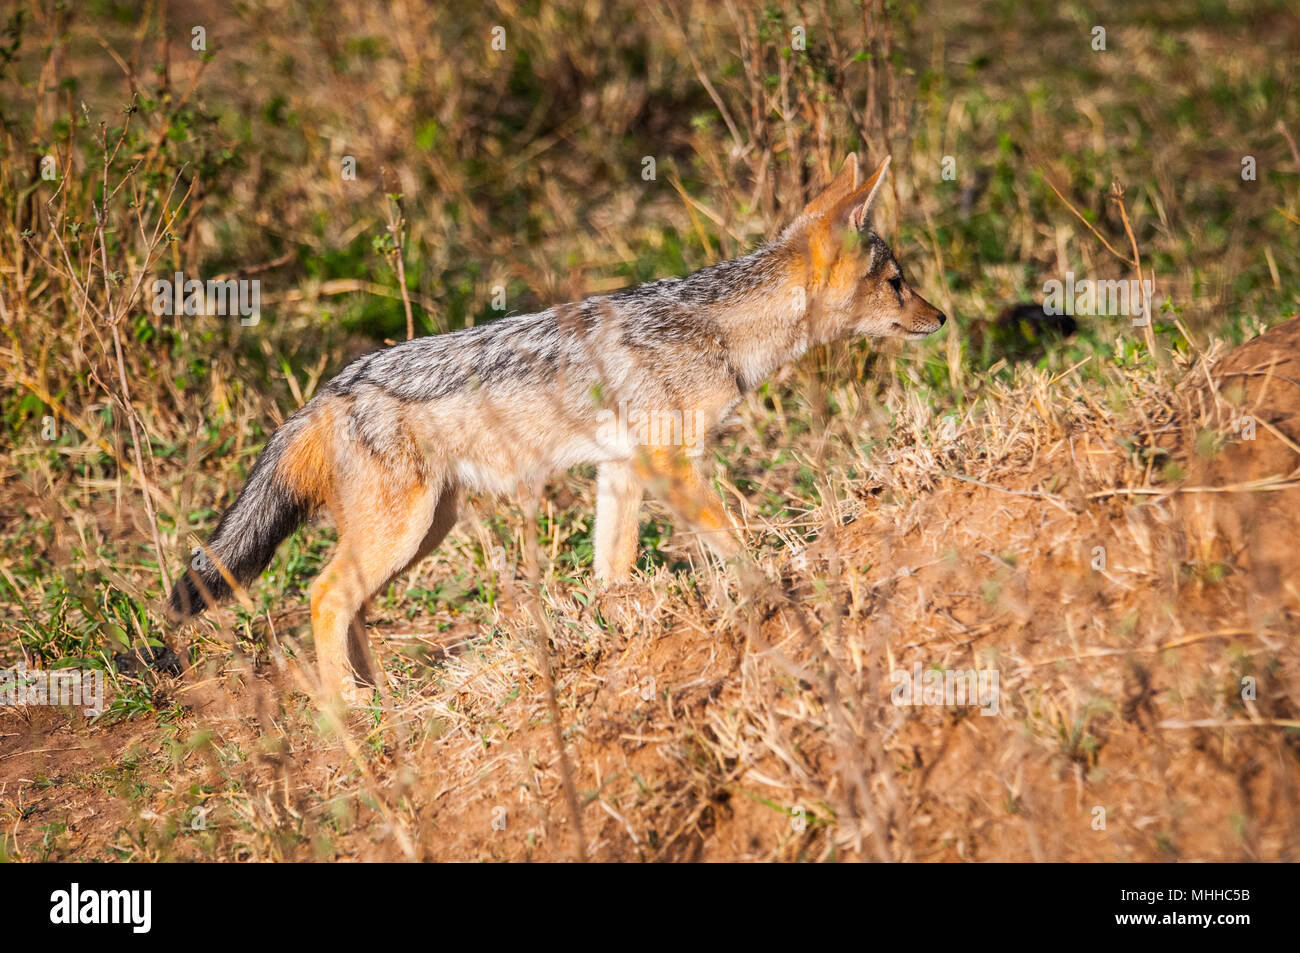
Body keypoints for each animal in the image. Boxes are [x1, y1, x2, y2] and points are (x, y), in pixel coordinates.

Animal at [168, 152, 946, 703]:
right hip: (404, 532)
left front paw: (619, 634)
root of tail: (333, 386)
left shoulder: (623, 470)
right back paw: (349, 712)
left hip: (423, 532)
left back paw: (376, 694)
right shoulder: (672, 466)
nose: (941, 317)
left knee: (348, 605)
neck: (718, 328)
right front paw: (769, 587)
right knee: (324, 597)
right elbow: (733, 540)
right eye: (898, 283)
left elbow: (611, 569)